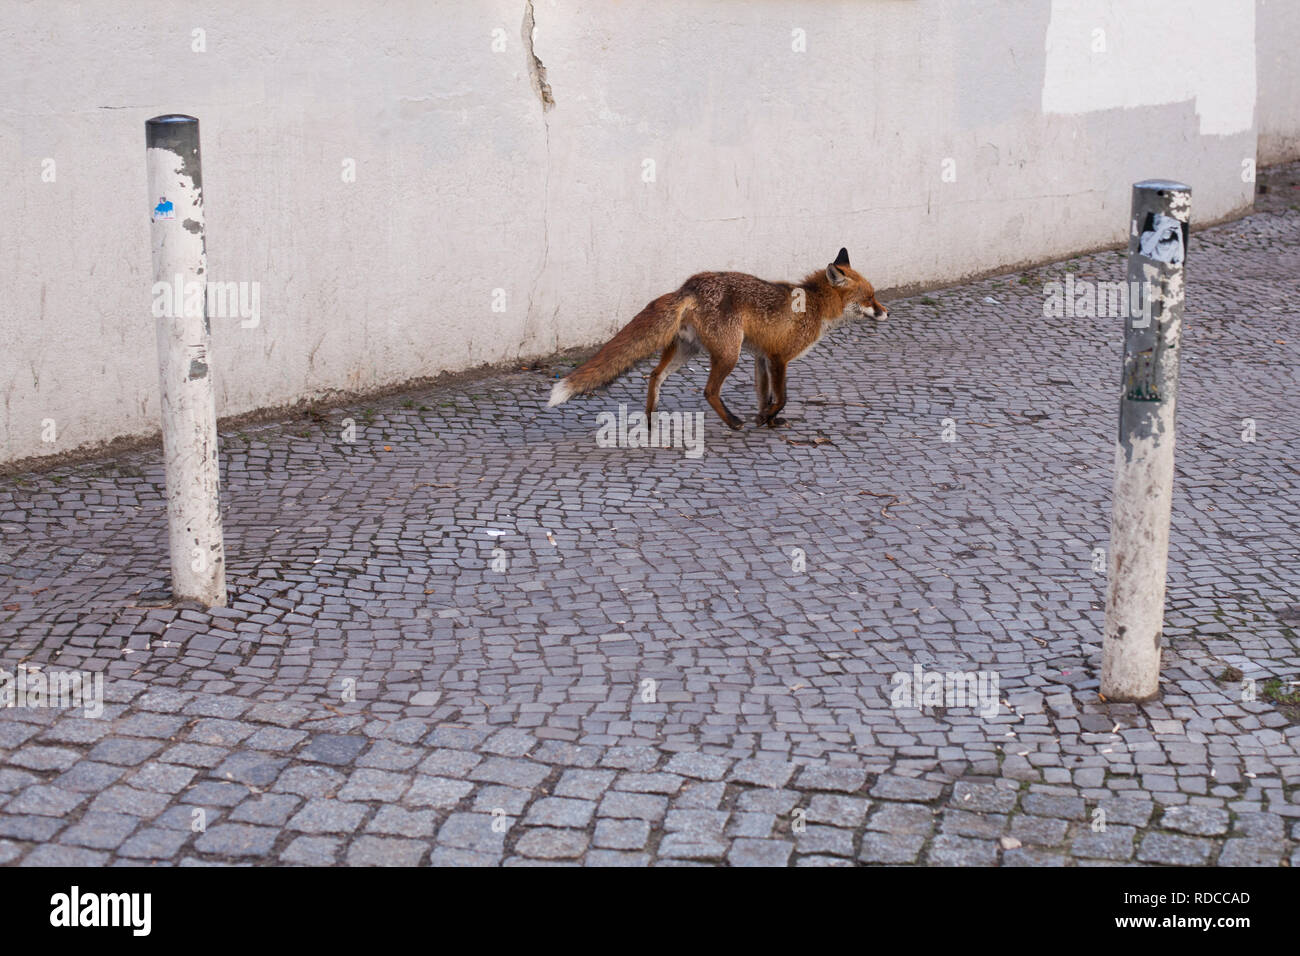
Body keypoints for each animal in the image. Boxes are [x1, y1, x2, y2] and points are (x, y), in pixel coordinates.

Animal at [547, 248, 888, 429]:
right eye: (870, 297)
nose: (887, 312)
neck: (815, 306)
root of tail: (689, 286)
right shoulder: (778, 357)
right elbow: (782, 397)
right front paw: (765, 419)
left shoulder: (761, 357)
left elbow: (764, 395)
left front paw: (765, 420)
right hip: (728, 354)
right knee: (709, 391)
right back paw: (732, 422)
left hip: (688, 350)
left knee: (655, 375)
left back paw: (651, 419)